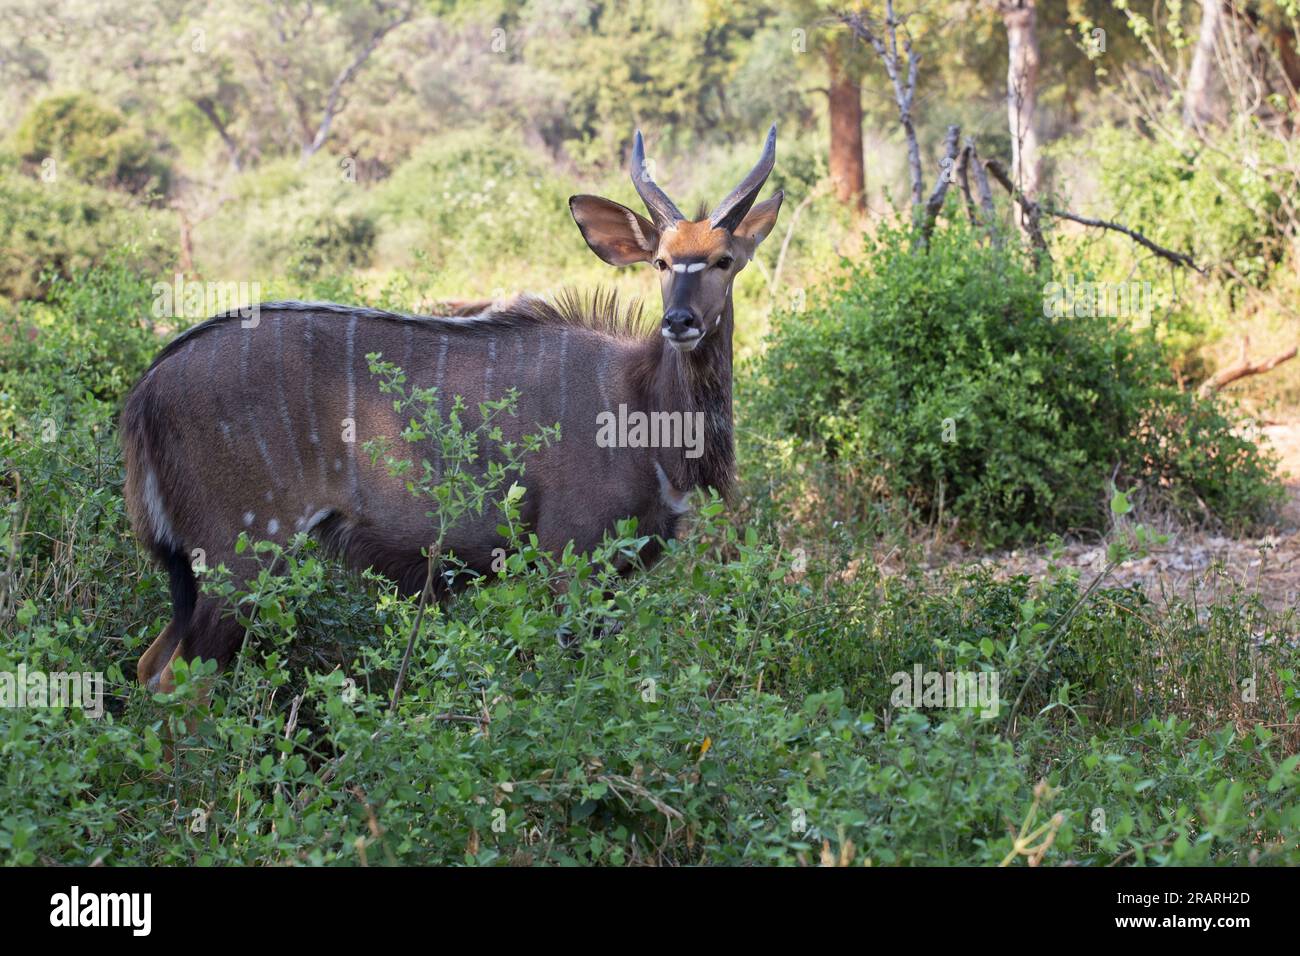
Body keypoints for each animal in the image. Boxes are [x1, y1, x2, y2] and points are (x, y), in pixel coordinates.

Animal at [124, 125, 782, 693]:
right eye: (662, 262)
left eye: (724, 259)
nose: (680, 321)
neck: (644, 410)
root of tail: (147, 388)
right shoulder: (570, 557)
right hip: (242, 552)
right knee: (179, 680)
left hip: (195, 570)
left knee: (149, 664)